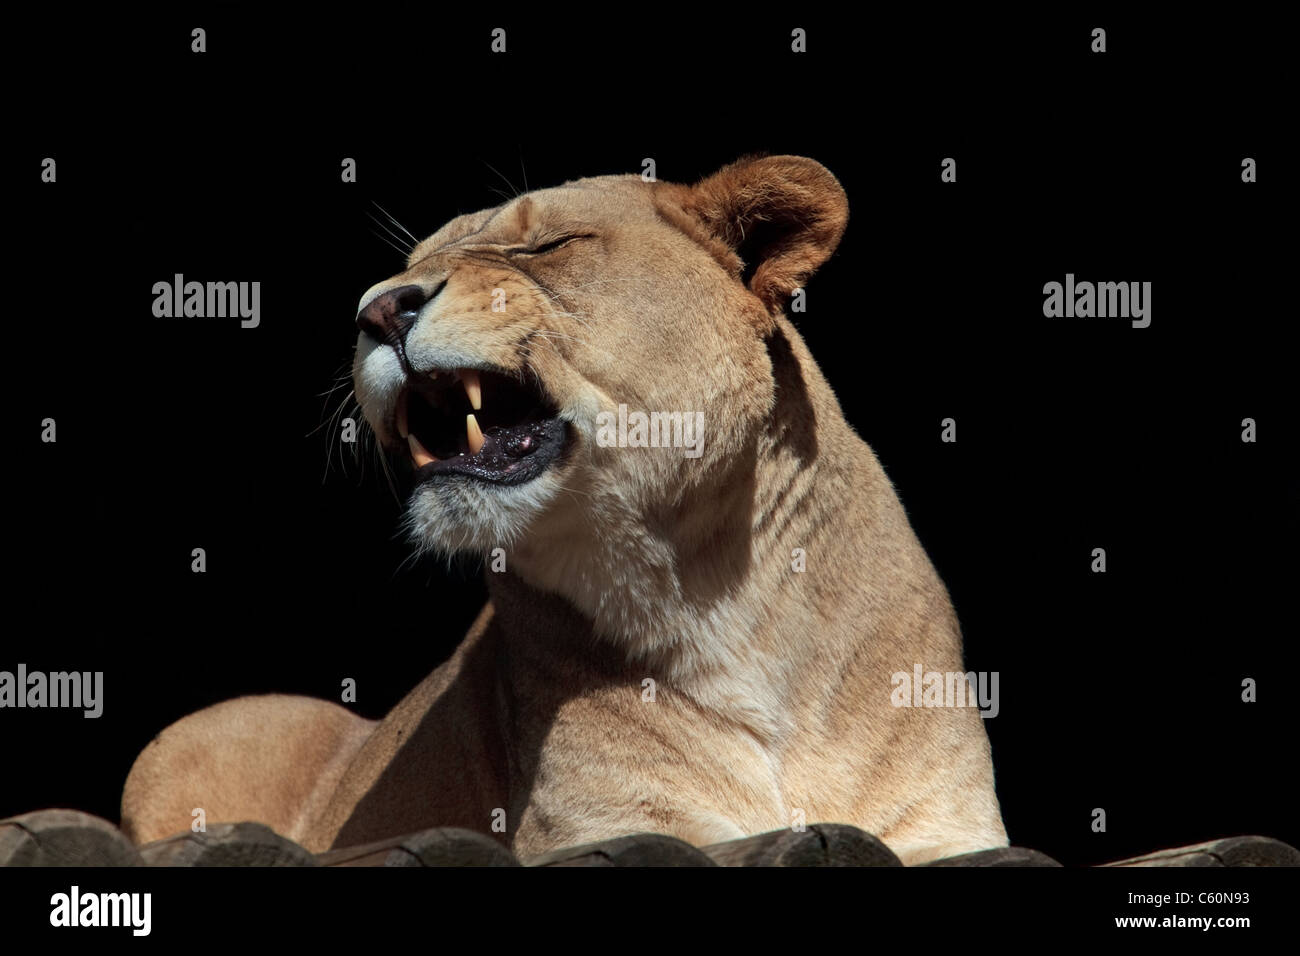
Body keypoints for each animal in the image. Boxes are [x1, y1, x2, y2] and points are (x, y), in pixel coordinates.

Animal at [121, 156, 1009, 865]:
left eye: (541, 247)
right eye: (406, 268)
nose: (374, 311)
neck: (725, 594)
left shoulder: (953, 826)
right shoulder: (611, 826)